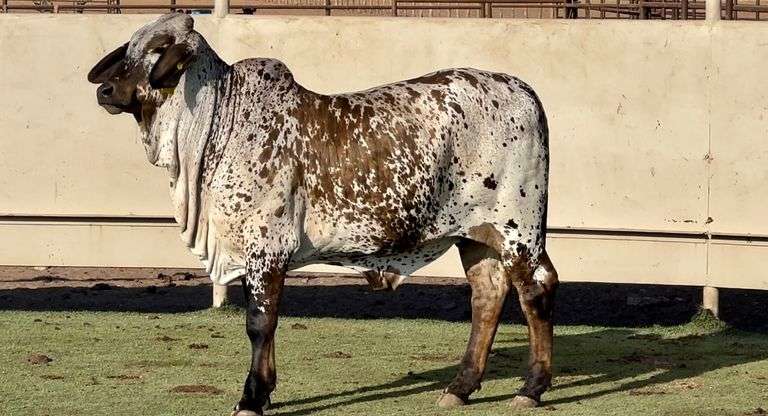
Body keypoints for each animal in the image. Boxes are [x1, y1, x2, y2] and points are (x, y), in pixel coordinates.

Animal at [88, 13, 559, 415]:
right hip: (475, 235)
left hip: (518, 229)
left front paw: (252, 397)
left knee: (535, 288)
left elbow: (259, 322)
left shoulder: (265, 251)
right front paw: (266, 391)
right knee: (488, 295)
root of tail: (526, 91)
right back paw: (461, 387)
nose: (104, 91)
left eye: (156, 50)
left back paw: (531, 388)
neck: (221, 121)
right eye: (129, 48)